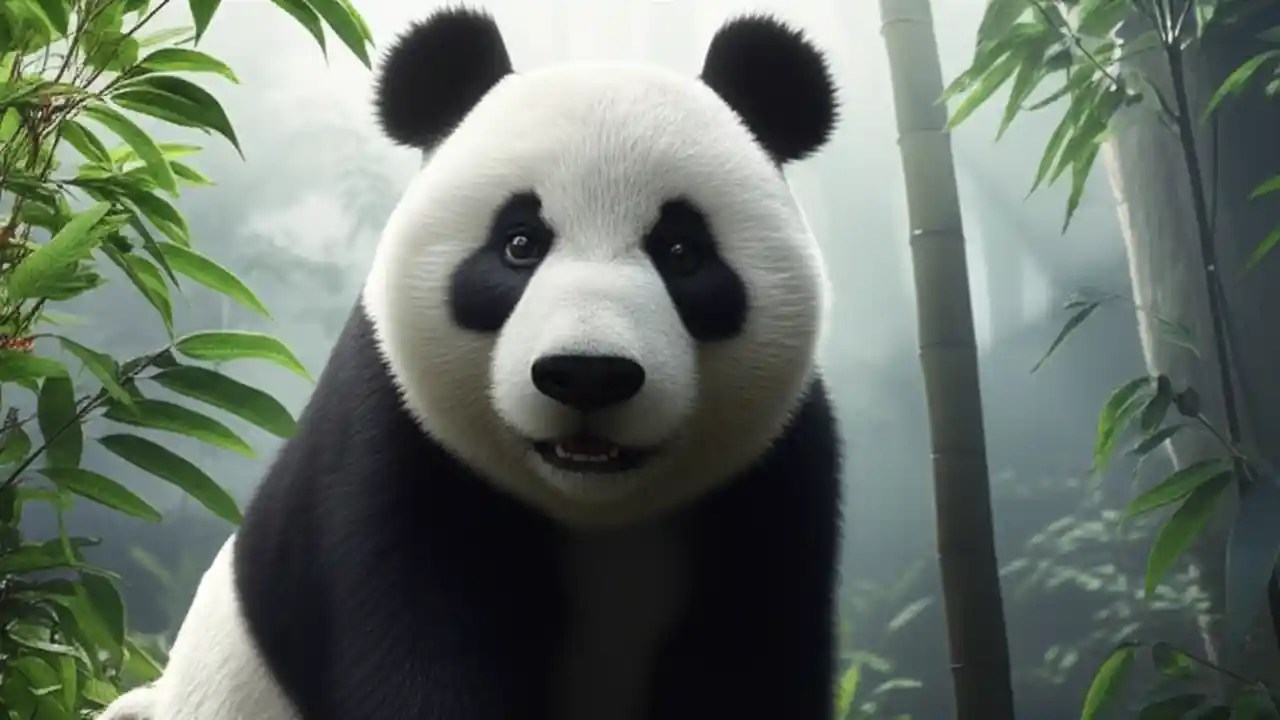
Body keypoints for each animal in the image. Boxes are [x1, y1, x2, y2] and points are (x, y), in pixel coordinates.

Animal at [99, 6, 843, 720]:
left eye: (682, 252)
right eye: (519, 243)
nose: (589, 374)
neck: (593, 511)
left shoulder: (774, 477)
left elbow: (754, 660)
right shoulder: (392, 446)